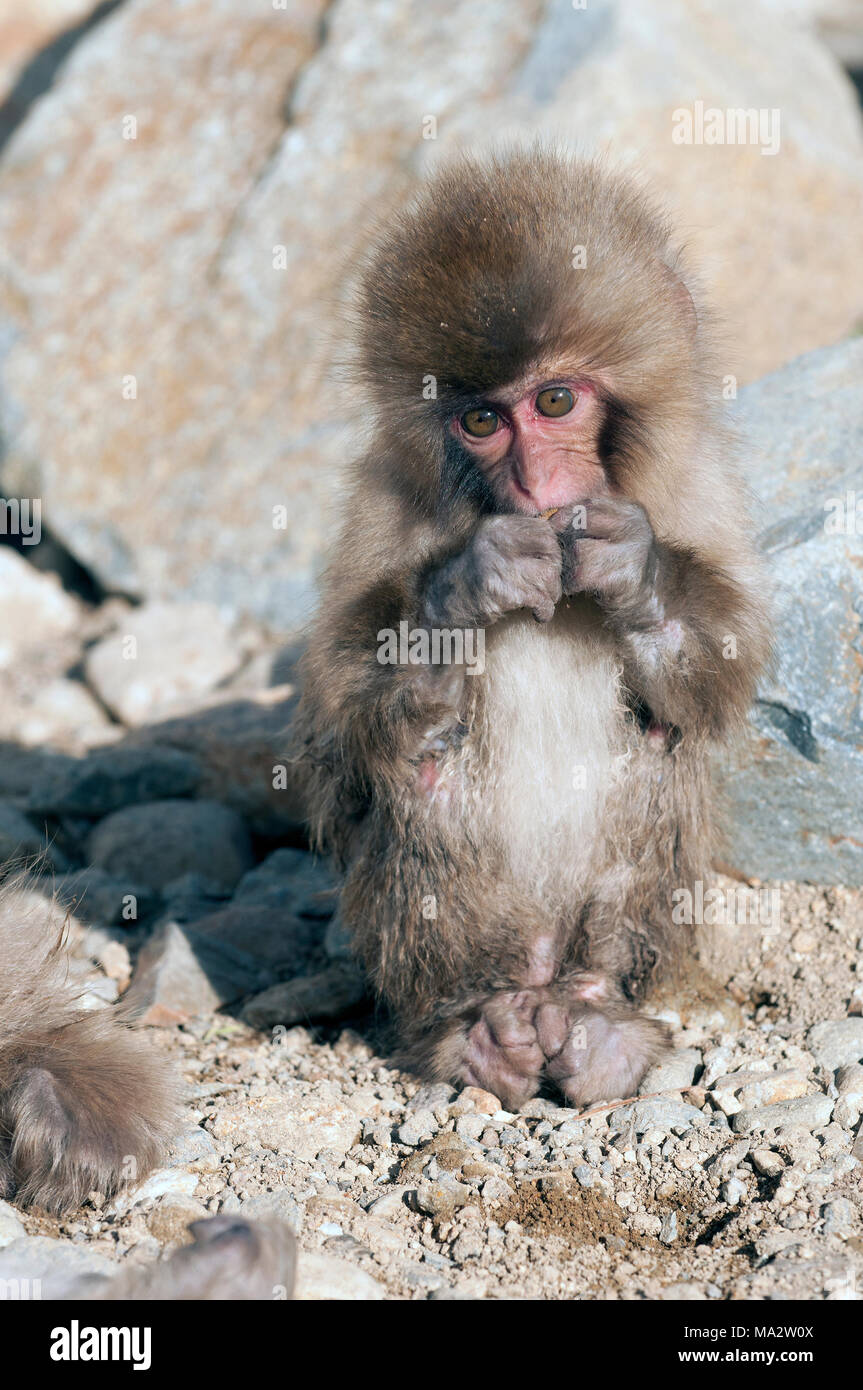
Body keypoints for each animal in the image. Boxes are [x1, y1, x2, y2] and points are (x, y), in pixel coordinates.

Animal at [295, 147, 770, 1112]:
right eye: (482, 420)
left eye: (554, 402)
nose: (533, 481)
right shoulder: (387, 502)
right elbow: (345, 708)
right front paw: (466, 589)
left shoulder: (694, 481)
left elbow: (724, 663)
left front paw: (635, 574)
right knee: (419, 774)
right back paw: (482, 1025)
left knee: (659, 750)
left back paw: (594, 1016)